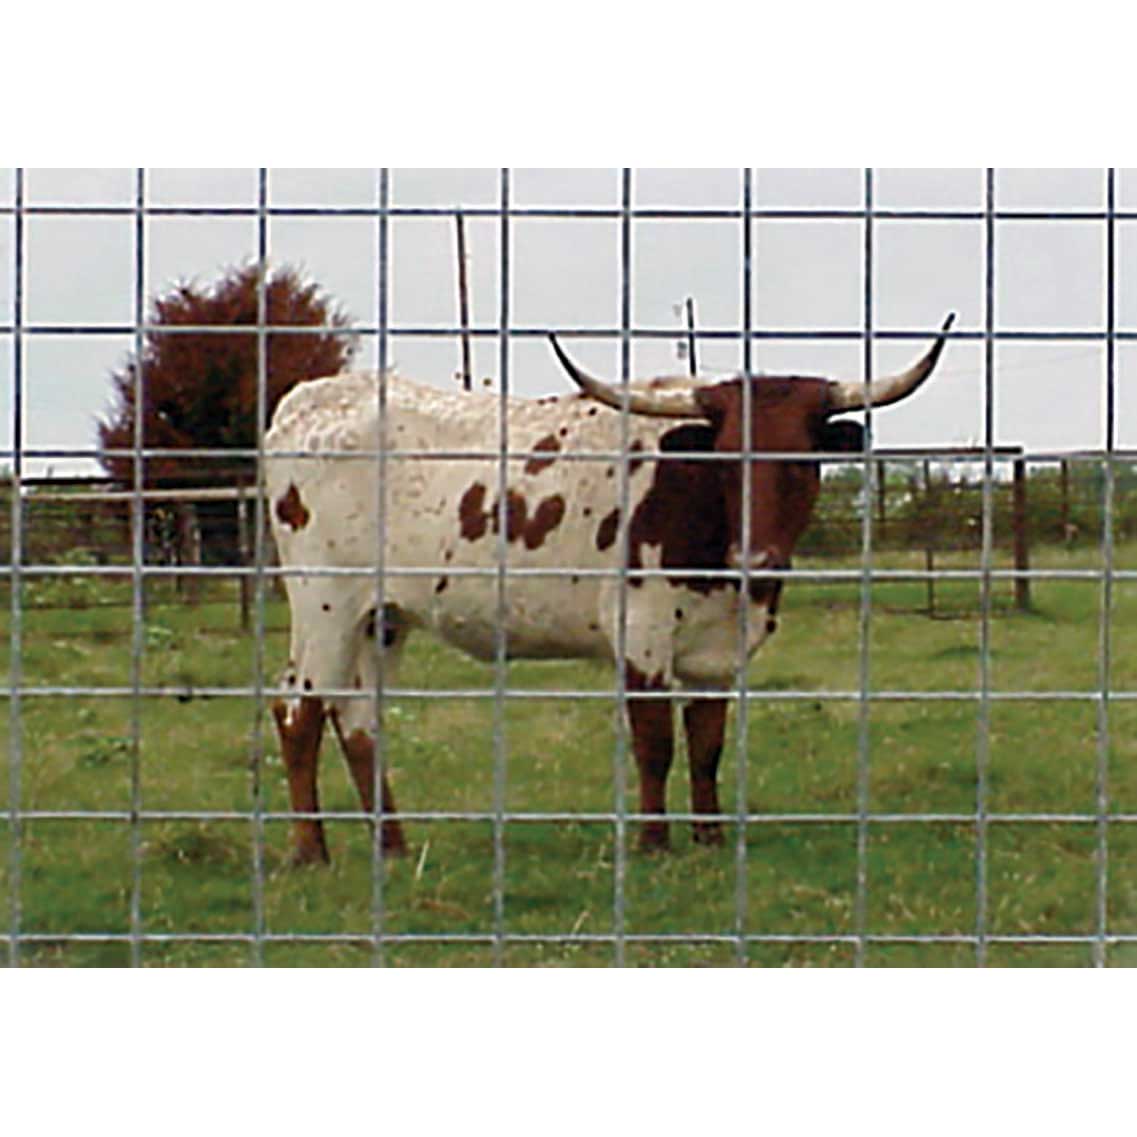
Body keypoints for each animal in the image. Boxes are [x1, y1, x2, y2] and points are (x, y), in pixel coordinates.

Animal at [265, 314, 955, 863]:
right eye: (725, 458)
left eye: (798, 460)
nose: (755, 557)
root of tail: (305, 403)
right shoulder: (641, 632)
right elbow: (654, 742)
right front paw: (653, 843)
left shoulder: (717, 652)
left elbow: (707, 744)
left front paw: (709, 838)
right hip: (324, 600)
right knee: (298, 710)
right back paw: (309, 850)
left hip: (381, 616)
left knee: (358, 717)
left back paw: (393, 846)